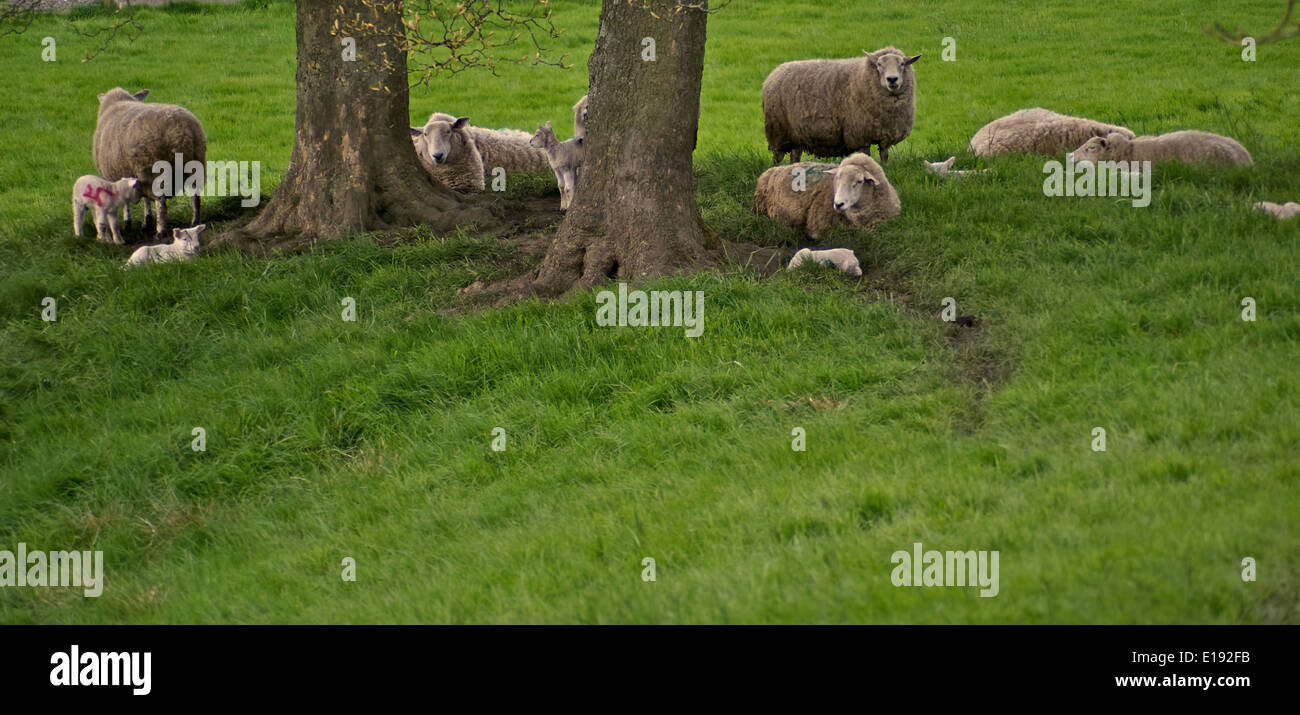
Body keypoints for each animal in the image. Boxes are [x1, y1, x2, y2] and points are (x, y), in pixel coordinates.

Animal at [93, 87, 206, 239]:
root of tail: (180, 130)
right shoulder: (138, 177)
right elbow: (145, 199)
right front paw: (147, 220)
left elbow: (126, 202)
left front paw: (128, 222)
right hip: (195, 164)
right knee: (195, 196)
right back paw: (195, 221)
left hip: (154, 170)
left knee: (161, 203)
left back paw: (161, 231)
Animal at [762, 46, 920, 166]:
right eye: (879, 65)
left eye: (902, 64)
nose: (892, 79)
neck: (863, 77)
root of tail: (774, 73)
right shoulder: (860, 134)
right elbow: (866, 156)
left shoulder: (885, 133)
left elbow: (884, 155)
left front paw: (885, 170)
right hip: (778, 131)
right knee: (777, 157)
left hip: (796, 135)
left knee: (795, 155)